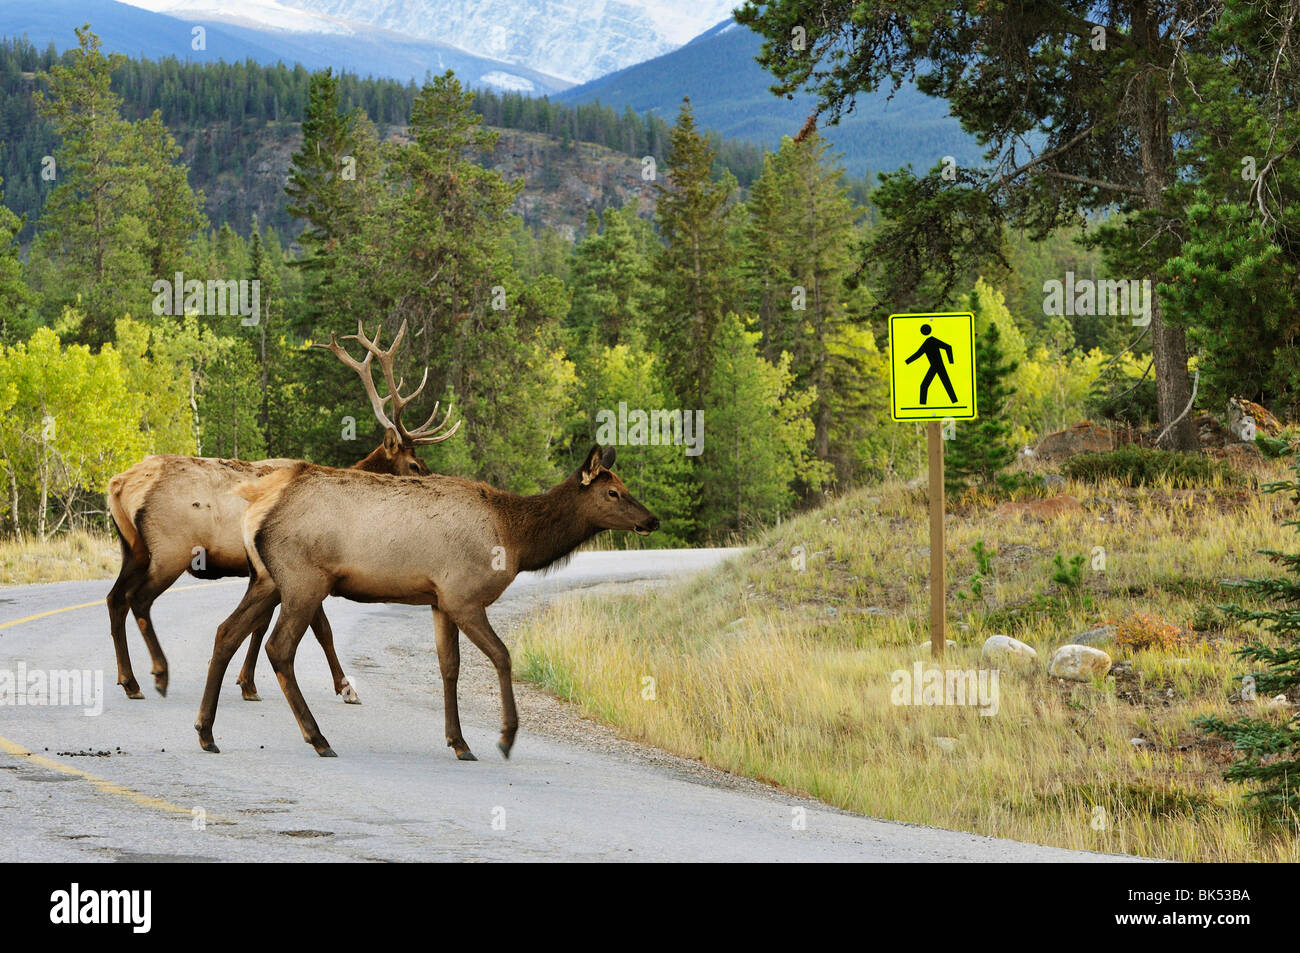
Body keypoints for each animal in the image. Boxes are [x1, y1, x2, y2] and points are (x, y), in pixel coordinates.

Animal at [105, 320, 458, 704]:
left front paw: (247, 682)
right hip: (172, 547)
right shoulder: (303, 566)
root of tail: (119, 484)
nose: (433, 485)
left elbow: (260, 627)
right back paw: (157, 673)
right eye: (414, 464)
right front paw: (344, 687)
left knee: (114, 598)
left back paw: (129, 680)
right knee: (137, 599)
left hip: (133, 548)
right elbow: (321, 630)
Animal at [192, 443, 659, 760]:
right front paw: (505, 737)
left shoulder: (439, 600)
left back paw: (206, 732)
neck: (515, 540)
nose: (652, 519)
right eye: (613, 492)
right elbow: (503, 656)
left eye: (625, 486)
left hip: (267, 579)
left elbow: (448, 667)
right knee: (279, 646)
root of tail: (258, 505)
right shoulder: (464, 594)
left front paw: (459, 742)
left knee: (225, 632)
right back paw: (318, 738)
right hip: (303, 579)